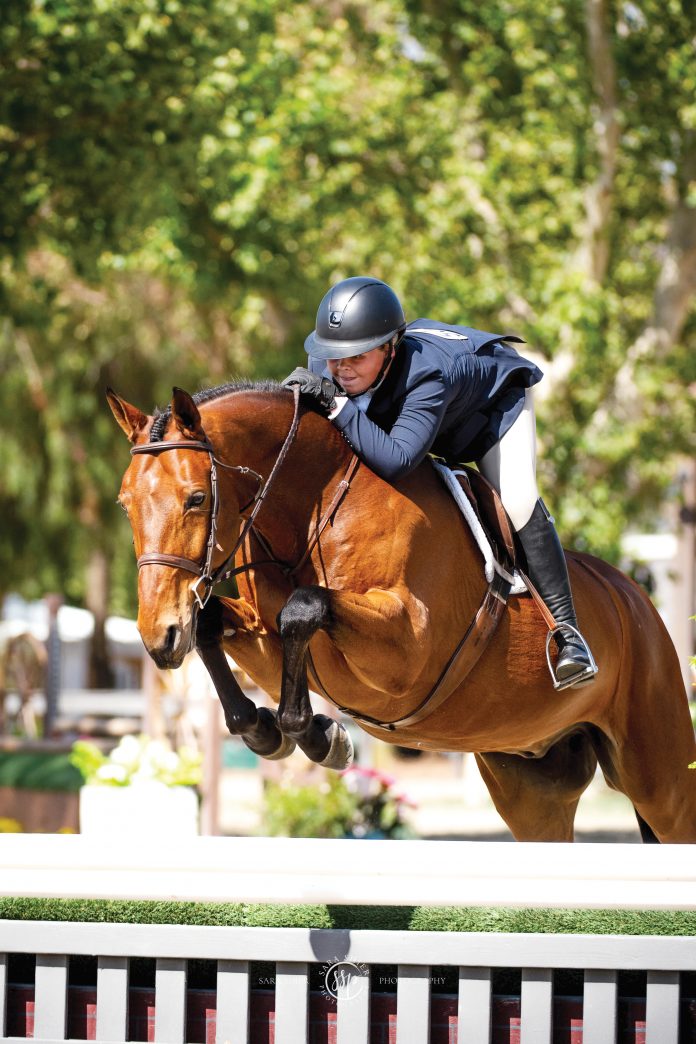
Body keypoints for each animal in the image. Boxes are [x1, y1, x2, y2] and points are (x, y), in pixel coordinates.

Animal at [107, 381, 696, 843]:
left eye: (196, 499)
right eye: (125, 504)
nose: (158, 636)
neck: (312, 504)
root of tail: (636, 599)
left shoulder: (407, 651)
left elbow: (304, 608)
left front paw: (320, 737)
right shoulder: (261, 635)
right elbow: (212, 625)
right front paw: (261, 730)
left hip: (662, 779)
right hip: (531, 785)